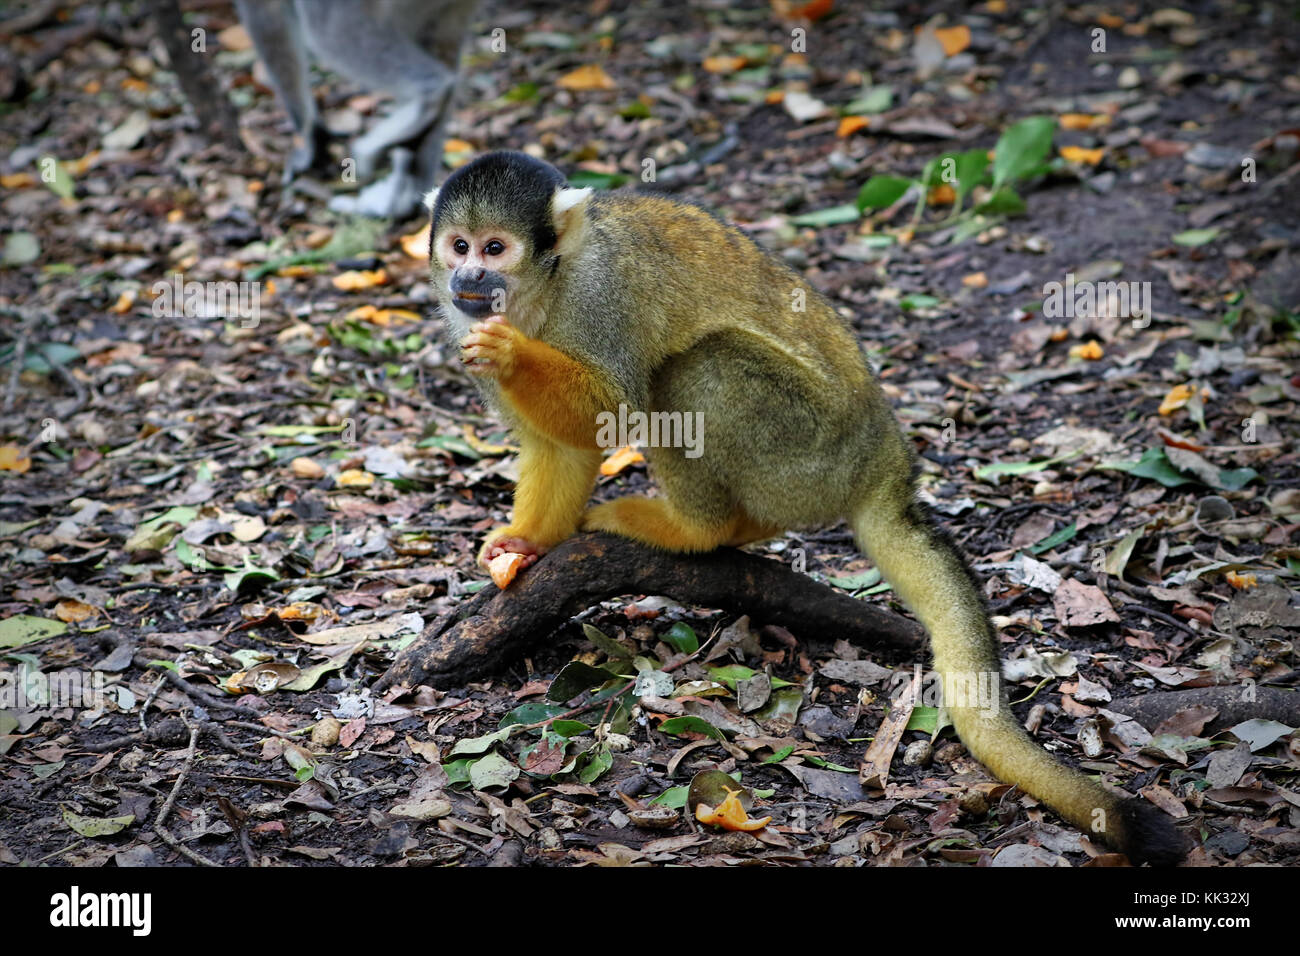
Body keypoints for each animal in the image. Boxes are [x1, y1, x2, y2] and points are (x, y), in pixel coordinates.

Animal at [425, 150, 1189, 866]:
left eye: (495, 248)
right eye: (459, 246)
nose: (468, 281)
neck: (544, 285)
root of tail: (882, 456)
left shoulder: (597, 294)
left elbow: (610, 406)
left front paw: (514, 354)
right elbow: (561, 445)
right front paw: (525, 543)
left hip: (809, 444)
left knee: (693, 369)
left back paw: (692, 529)